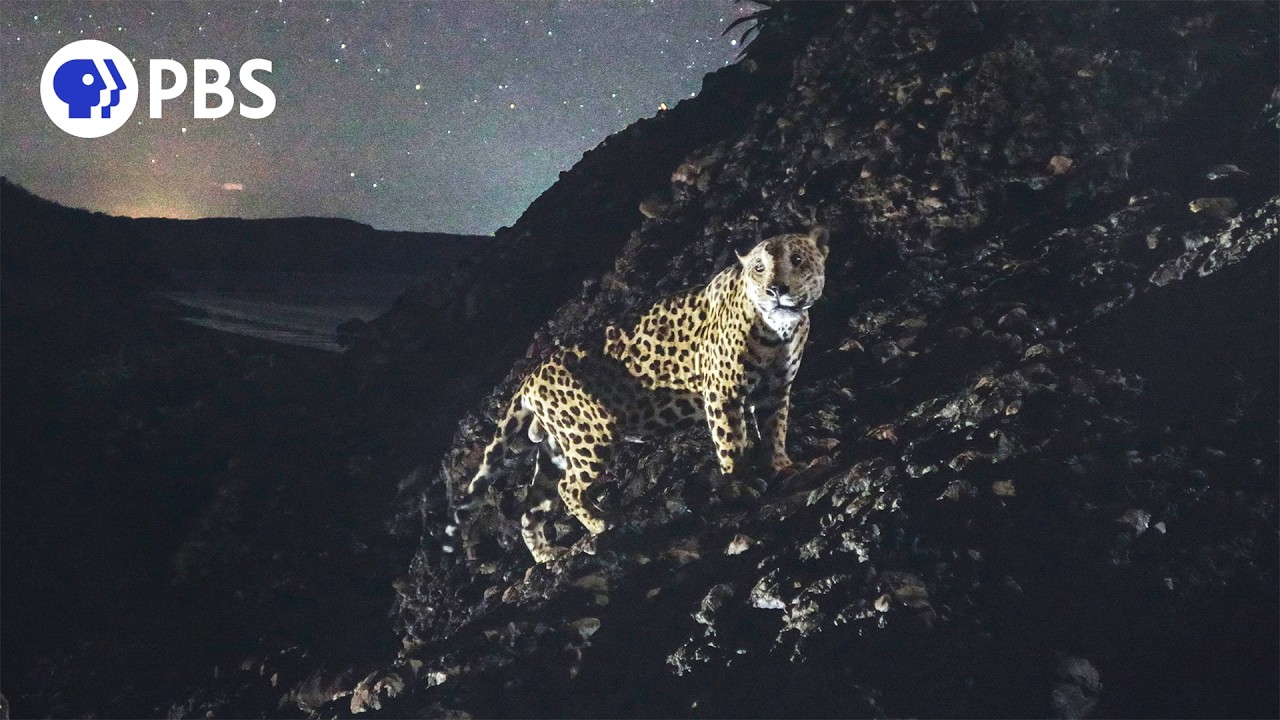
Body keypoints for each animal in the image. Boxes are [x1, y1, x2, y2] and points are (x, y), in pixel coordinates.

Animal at [456, 227, 829, 562]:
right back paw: (601, 523)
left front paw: (782, 467)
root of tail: (530, 378)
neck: (779, 331)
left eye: (797, 260)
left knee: (531, 507)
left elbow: (775, 431)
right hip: (590, 439)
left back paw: (546, 553)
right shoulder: (722, 394)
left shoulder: (775, 392)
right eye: (759, 267)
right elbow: (732, 445)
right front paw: (741, 485)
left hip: (555, 449)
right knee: (568, 488)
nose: (775, 289)